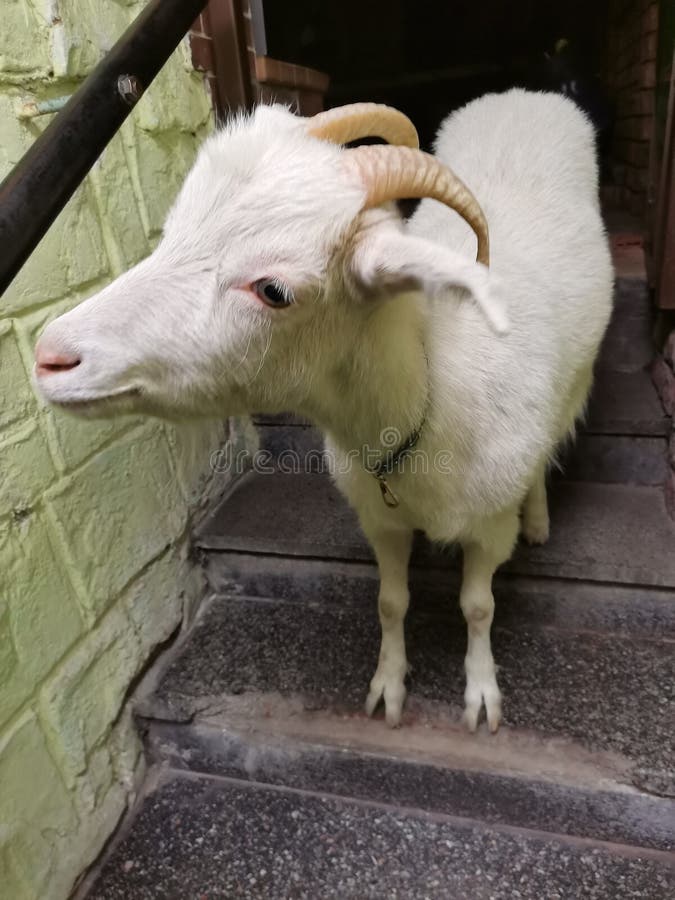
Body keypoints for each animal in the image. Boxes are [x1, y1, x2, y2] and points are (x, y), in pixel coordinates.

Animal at [35, 89, 613, 732]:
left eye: (273, 291)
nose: (50, 357)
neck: (429, 390)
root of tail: (523, 95)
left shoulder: (488, 529)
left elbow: (478, 606)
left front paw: (481, 693)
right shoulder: (380, 519)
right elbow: (391, 602)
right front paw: (388, 687)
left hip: (576, 380)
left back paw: (536, 517)